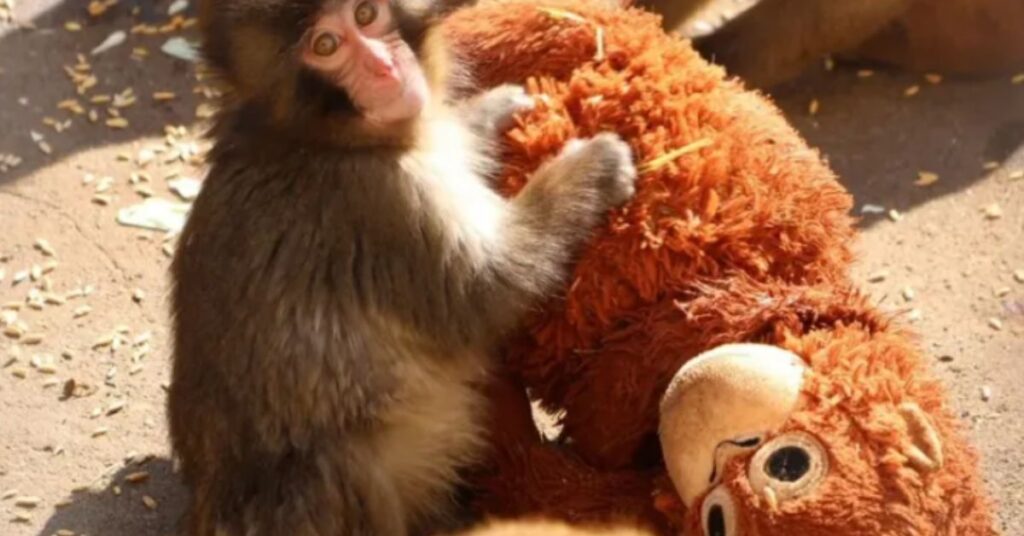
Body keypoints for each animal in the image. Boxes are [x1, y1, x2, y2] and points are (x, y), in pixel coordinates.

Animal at [166, 0, 638, 535]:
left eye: (365, 14)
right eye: (325, 45)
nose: (384, 67)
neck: (317, 139)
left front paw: (488, 113)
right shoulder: (381, 200)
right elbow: (487, 290)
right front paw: (592, 170)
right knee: (339, 462)